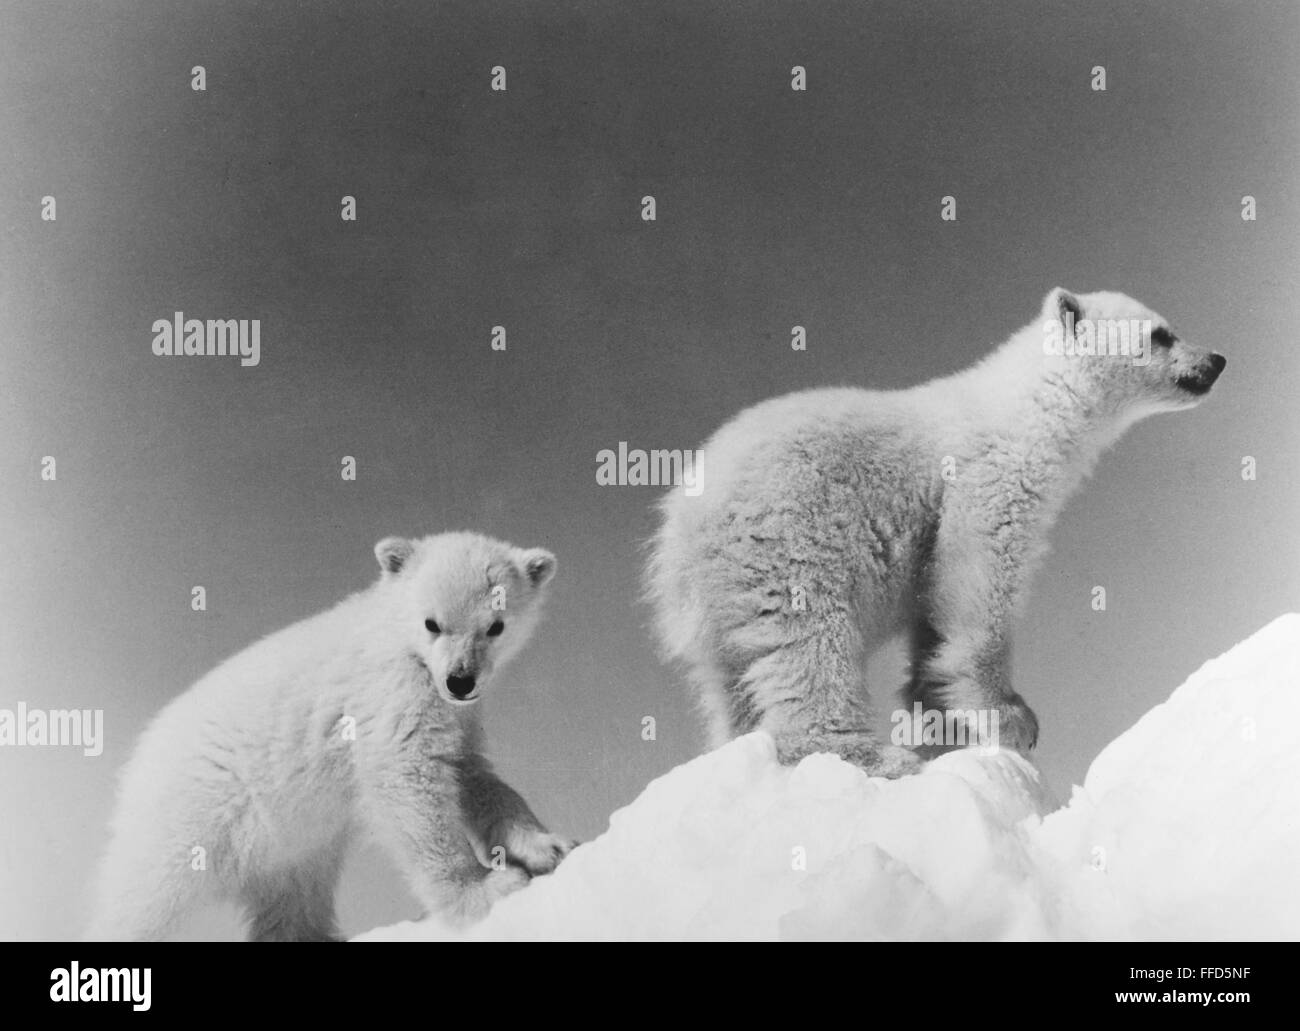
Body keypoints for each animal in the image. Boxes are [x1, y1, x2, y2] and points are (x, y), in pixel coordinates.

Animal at [86, 531, 573, 941]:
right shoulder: (390, 692)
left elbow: (472, 774)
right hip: (195, 811)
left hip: (286, 838)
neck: (397, 635)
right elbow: (408, 780)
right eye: (432, 623)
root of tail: (139, 758)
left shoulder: (458, 714)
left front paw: (547, 846)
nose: (460, 680)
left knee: (293, 894)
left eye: (496, 625)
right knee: (144, 894)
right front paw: (487, 889)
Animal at [648, 288, 1225, 776]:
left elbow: (933, 611)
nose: (1217, 360)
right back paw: (868, 754)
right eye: (1160, 334)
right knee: (809, 640)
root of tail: (679, 527)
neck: (1033, 408)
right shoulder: (987, 480)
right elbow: (979, 579)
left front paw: (940, 721)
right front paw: (1010, 718)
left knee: (733, 678)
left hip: (722, 597)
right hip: (792, 537)